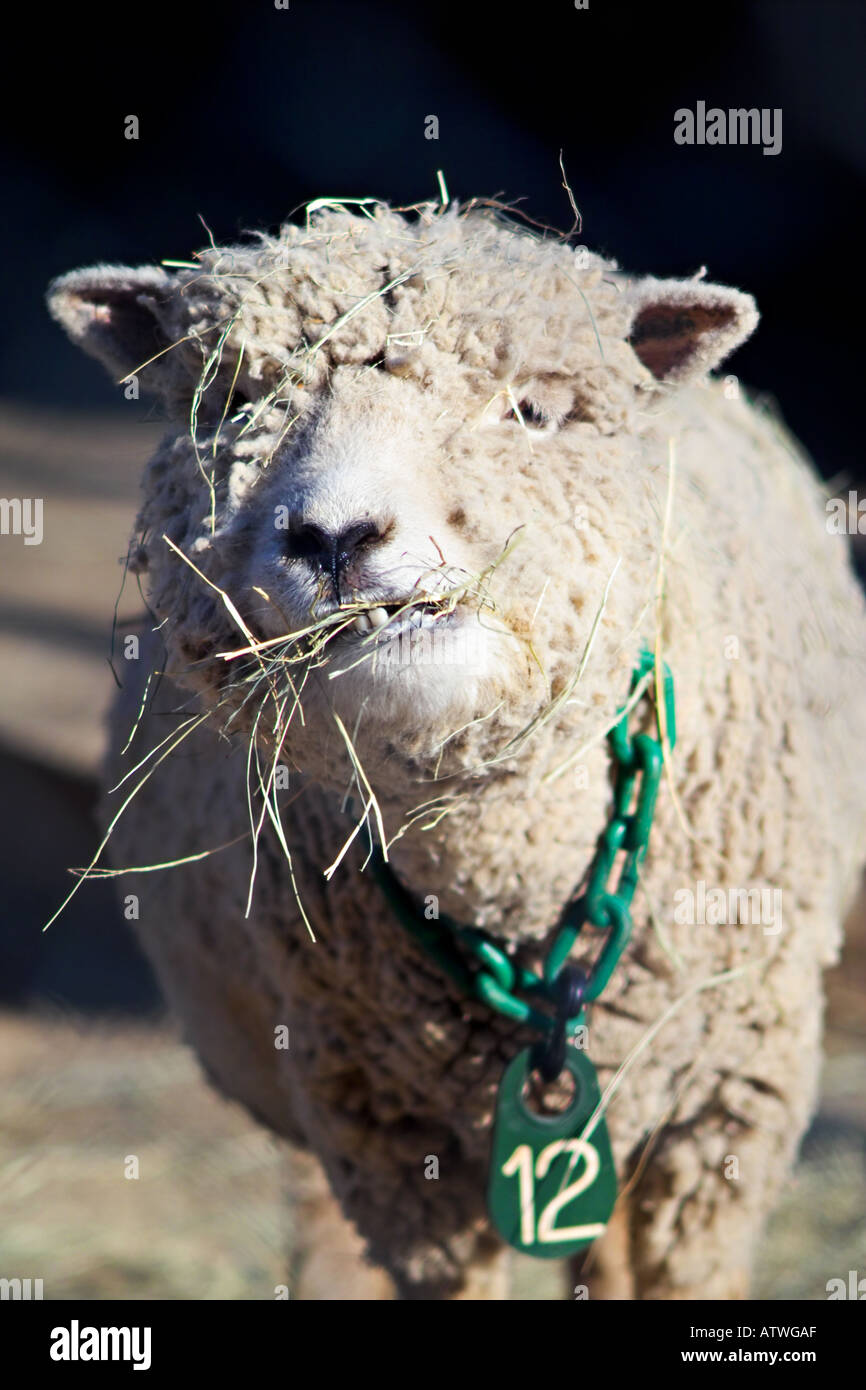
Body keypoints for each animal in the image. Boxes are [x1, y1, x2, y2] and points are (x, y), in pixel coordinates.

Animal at [45, 198, 866, 1301]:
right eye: (232, 405)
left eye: (532, 411)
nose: (337, 536)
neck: (511, 887)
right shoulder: (385, 1135)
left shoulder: (725, 1115)